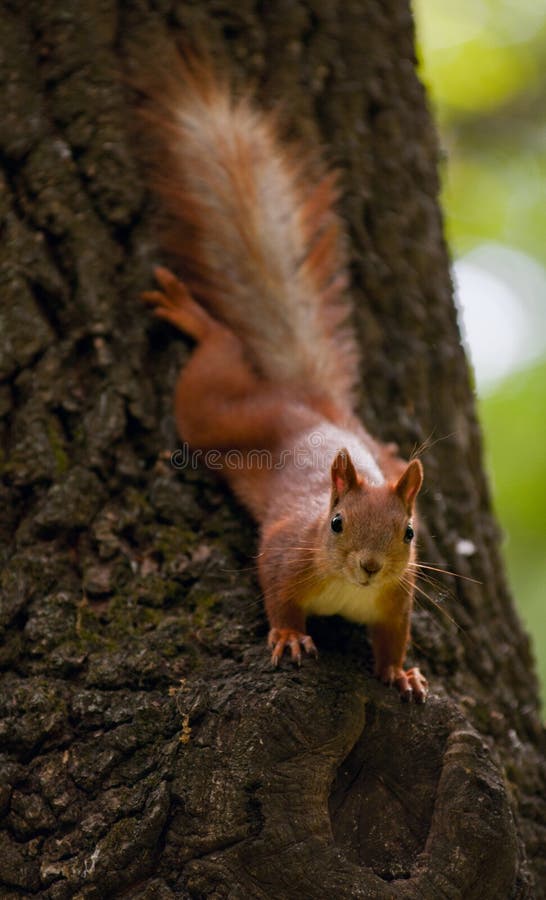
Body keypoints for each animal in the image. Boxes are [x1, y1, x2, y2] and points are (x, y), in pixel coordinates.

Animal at [141, 57, 428, 702]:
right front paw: (291, 638)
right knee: (214, 362)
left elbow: (393, 641)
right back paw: (195, 318)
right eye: (336, 522)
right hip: (215, 413)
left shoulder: (398, 603)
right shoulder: (285, 552)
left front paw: (401, 673)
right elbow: (277, 596)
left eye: (409, 533)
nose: (369, 567)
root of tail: (306, 400)